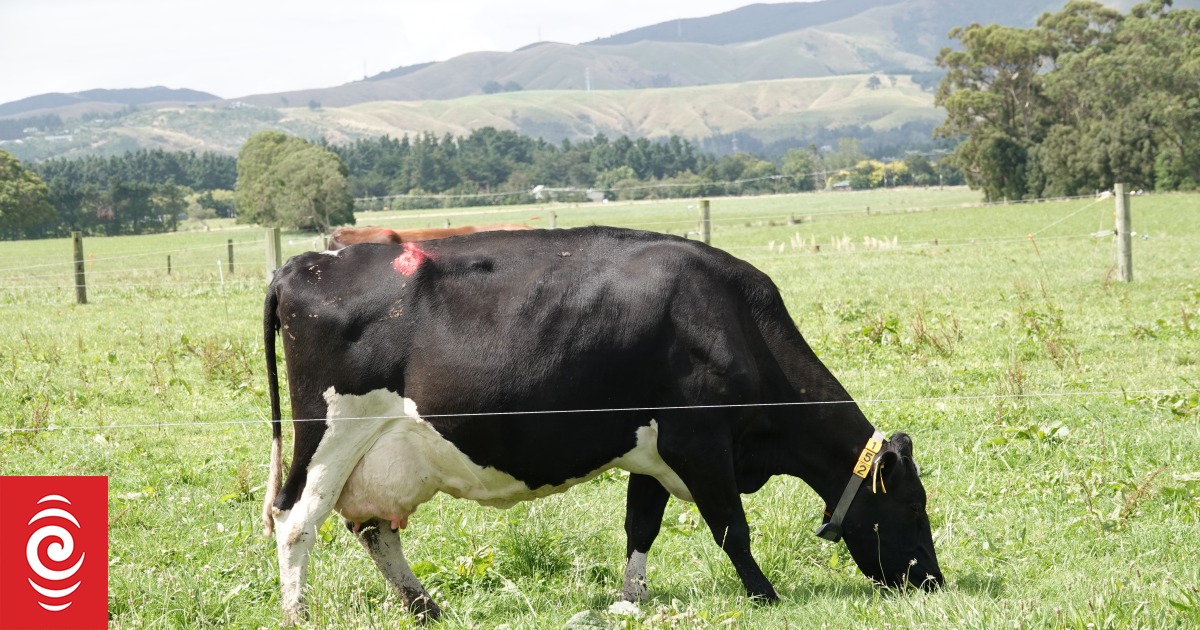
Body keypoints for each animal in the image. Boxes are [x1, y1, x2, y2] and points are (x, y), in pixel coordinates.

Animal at [262, 226, 943, 624]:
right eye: (914, 507)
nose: (933, 582)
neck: (734, 319)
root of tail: (305, 264)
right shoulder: (700, 442)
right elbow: (732, 528)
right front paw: (765, 595)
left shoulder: (651, 449)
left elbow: (641, 525)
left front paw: (632, 599)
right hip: (330, 432)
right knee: (296, 520)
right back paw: (298, 614)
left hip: (378, 453)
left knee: (374, 529)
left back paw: (427, 605)